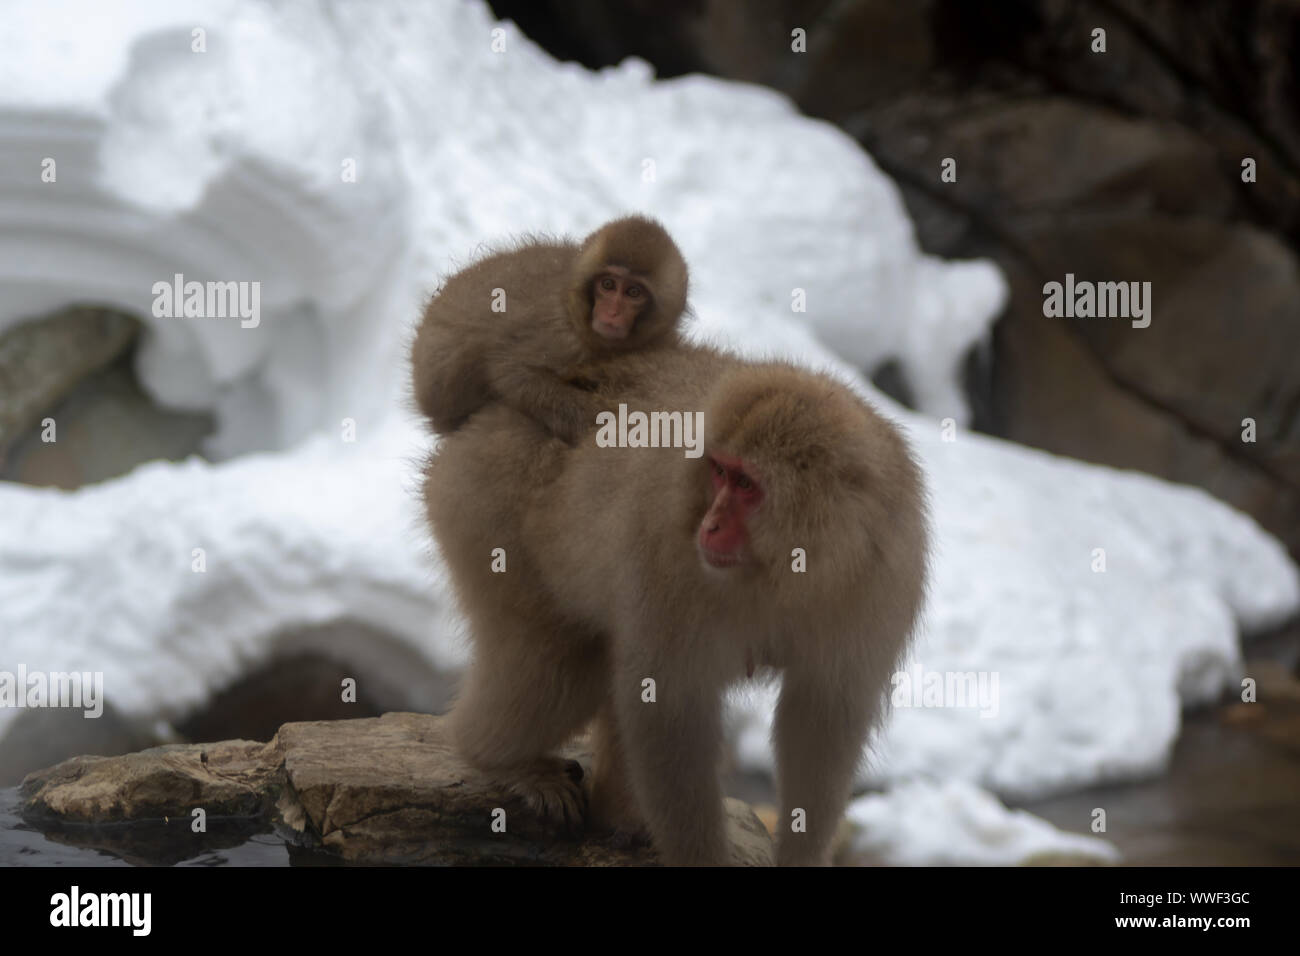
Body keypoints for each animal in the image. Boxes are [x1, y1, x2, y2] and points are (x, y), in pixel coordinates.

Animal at [410, 215, 688, 444]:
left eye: (633, 292)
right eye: (608, 285)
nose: (612, 312)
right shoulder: (561, 337)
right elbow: (511, 372)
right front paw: (602, 419)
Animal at [419, 342, 929, 866]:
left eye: (746, 485)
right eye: (720, 471)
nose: (709, 525)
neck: (791, 569)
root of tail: (483, 418)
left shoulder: (881, 582)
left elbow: (823, 717)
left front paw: (801, 856)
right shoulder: (665, 556)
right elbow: (667, 708)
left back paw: (615, 814)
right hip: (485, 510)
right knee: (565, 662)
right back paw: (500, 760)